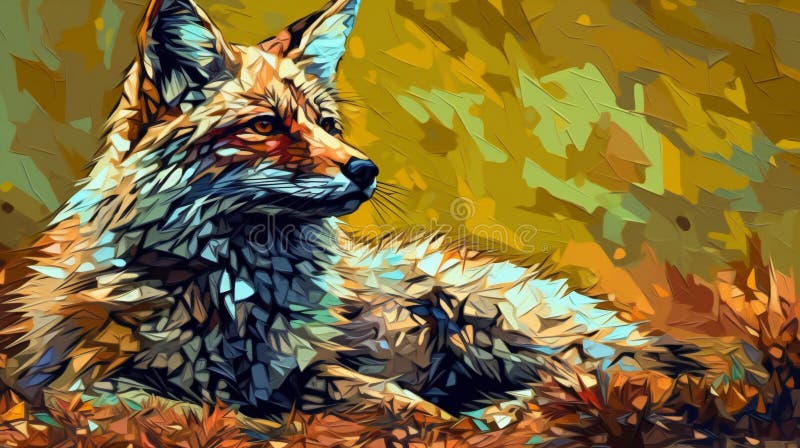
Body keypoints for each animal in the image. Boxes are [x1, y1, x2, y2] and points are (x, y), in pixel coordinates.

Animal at [0, 0, 780, 444]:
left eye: (327, 124)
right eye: (264, 125)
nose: (364, 169)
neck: (233, 296)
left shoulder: (310, 366)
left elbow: (380, 396)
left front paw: (435, 422)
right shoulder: (73, 384)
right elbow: (187, 408)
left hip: (489, 319)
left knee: (611, 379)